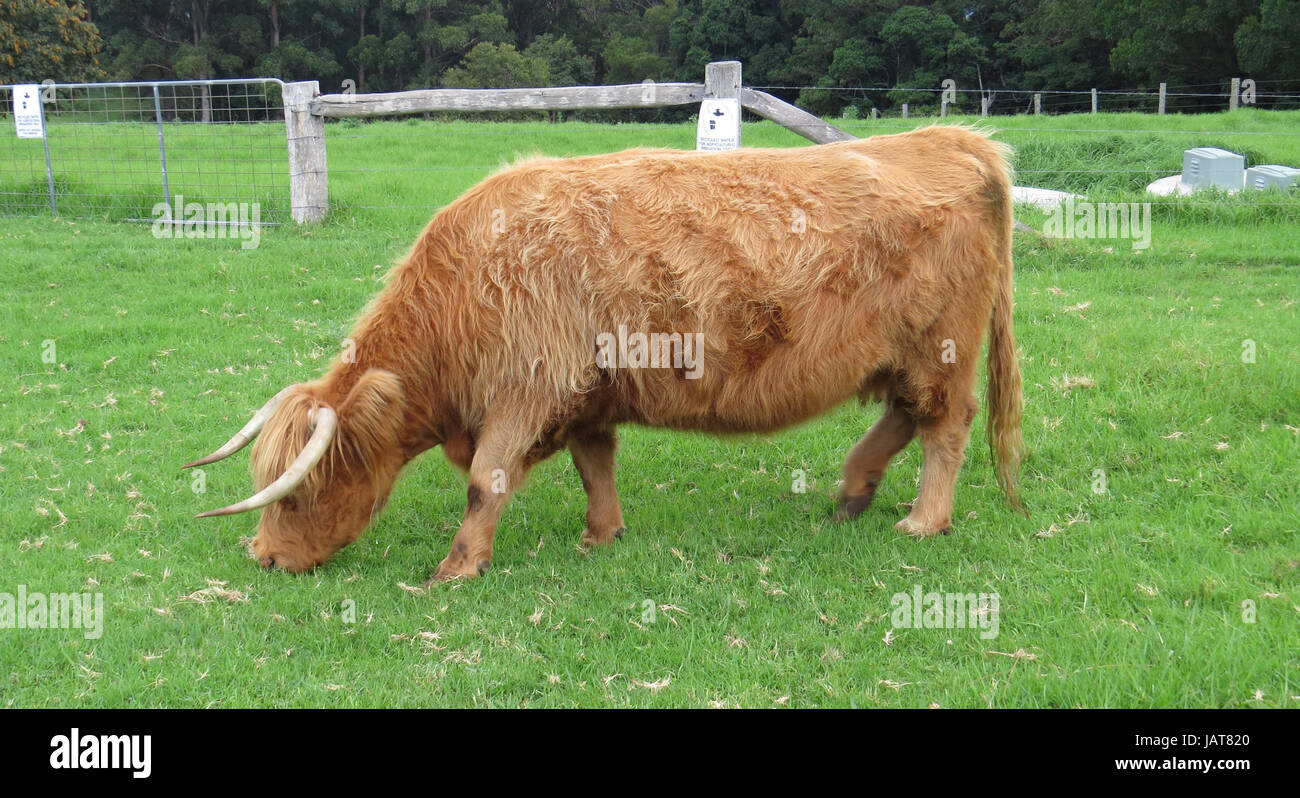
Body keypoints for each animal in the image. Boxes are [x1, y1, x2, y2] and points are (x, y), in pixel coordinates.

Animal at [186, 124, 1026, 582]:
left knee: (945, 425)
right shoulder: (584, 390)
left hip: (941, 346)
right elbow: (596, 463)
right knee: (904, 416)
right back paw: (852, 492)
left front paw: (457, 567)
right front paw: (601, 535)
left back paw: (922, 521)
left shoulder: (526, 388)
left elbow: (486, 482)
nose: (262, 557)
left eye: (295, 494)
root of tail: (950, 138)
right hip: (902, 355)